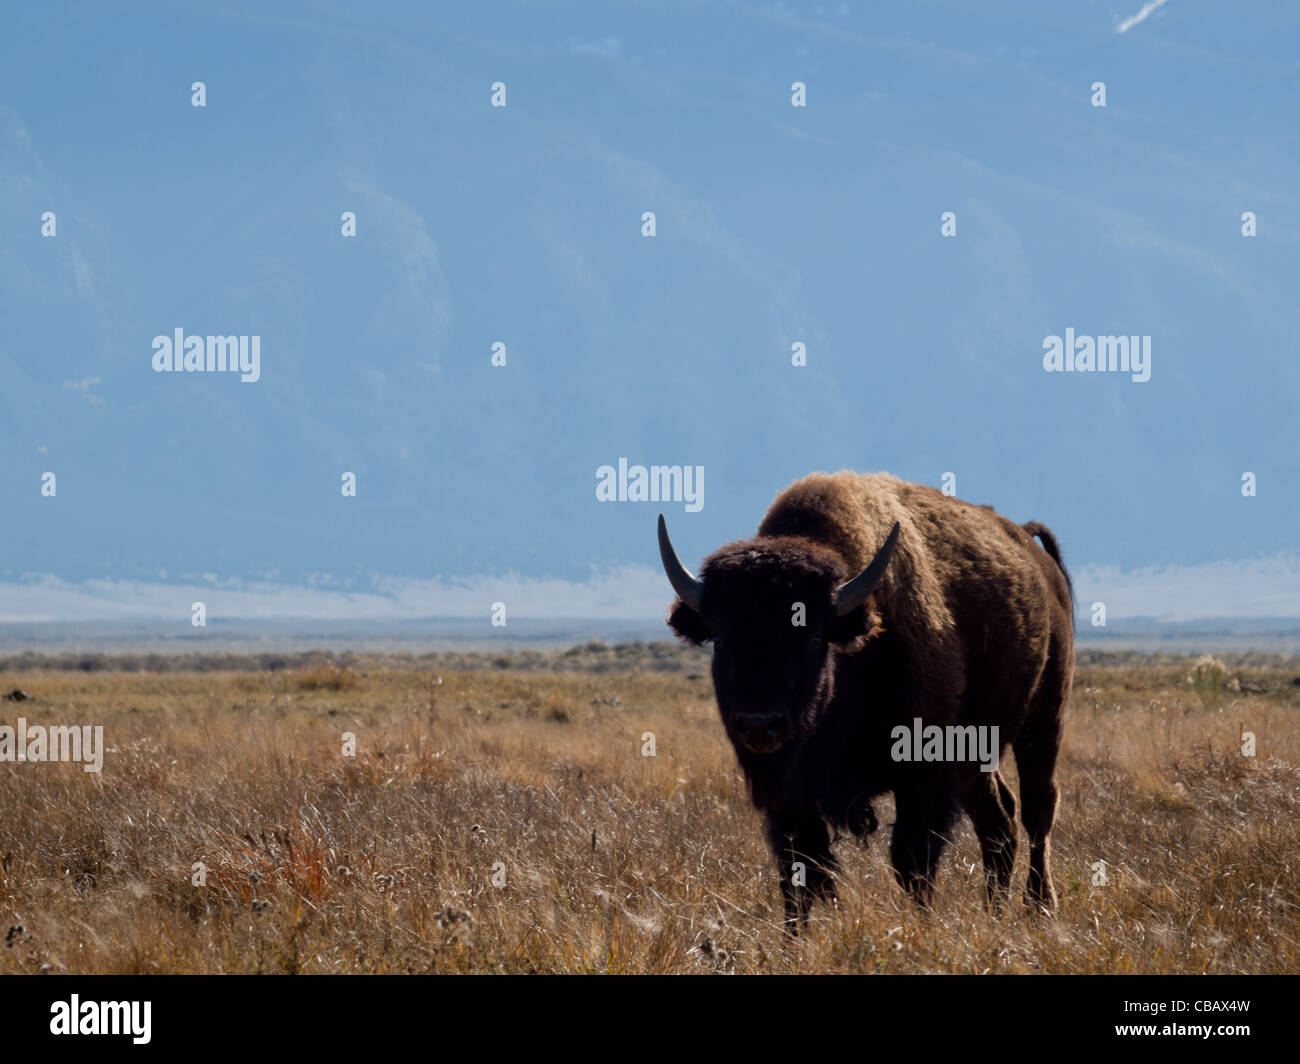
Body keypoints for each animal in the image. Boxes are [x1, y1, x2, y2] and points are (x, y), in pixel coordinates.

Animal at [658, 472, 1073, 927]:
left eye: (814, 637)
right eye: (719, 637)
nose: (759, 724)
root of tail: (1036, 555)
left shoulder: (924, 777)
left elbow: (911, 863)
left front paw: (921, 928)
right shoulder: (789, 797)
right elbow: (801, 870)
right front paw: (795, 938)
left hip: (1044, 719)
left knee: (1037, 809)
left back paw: (1040, 906)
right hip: (979, 754)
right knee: (999, 820)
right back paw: (994, 911)